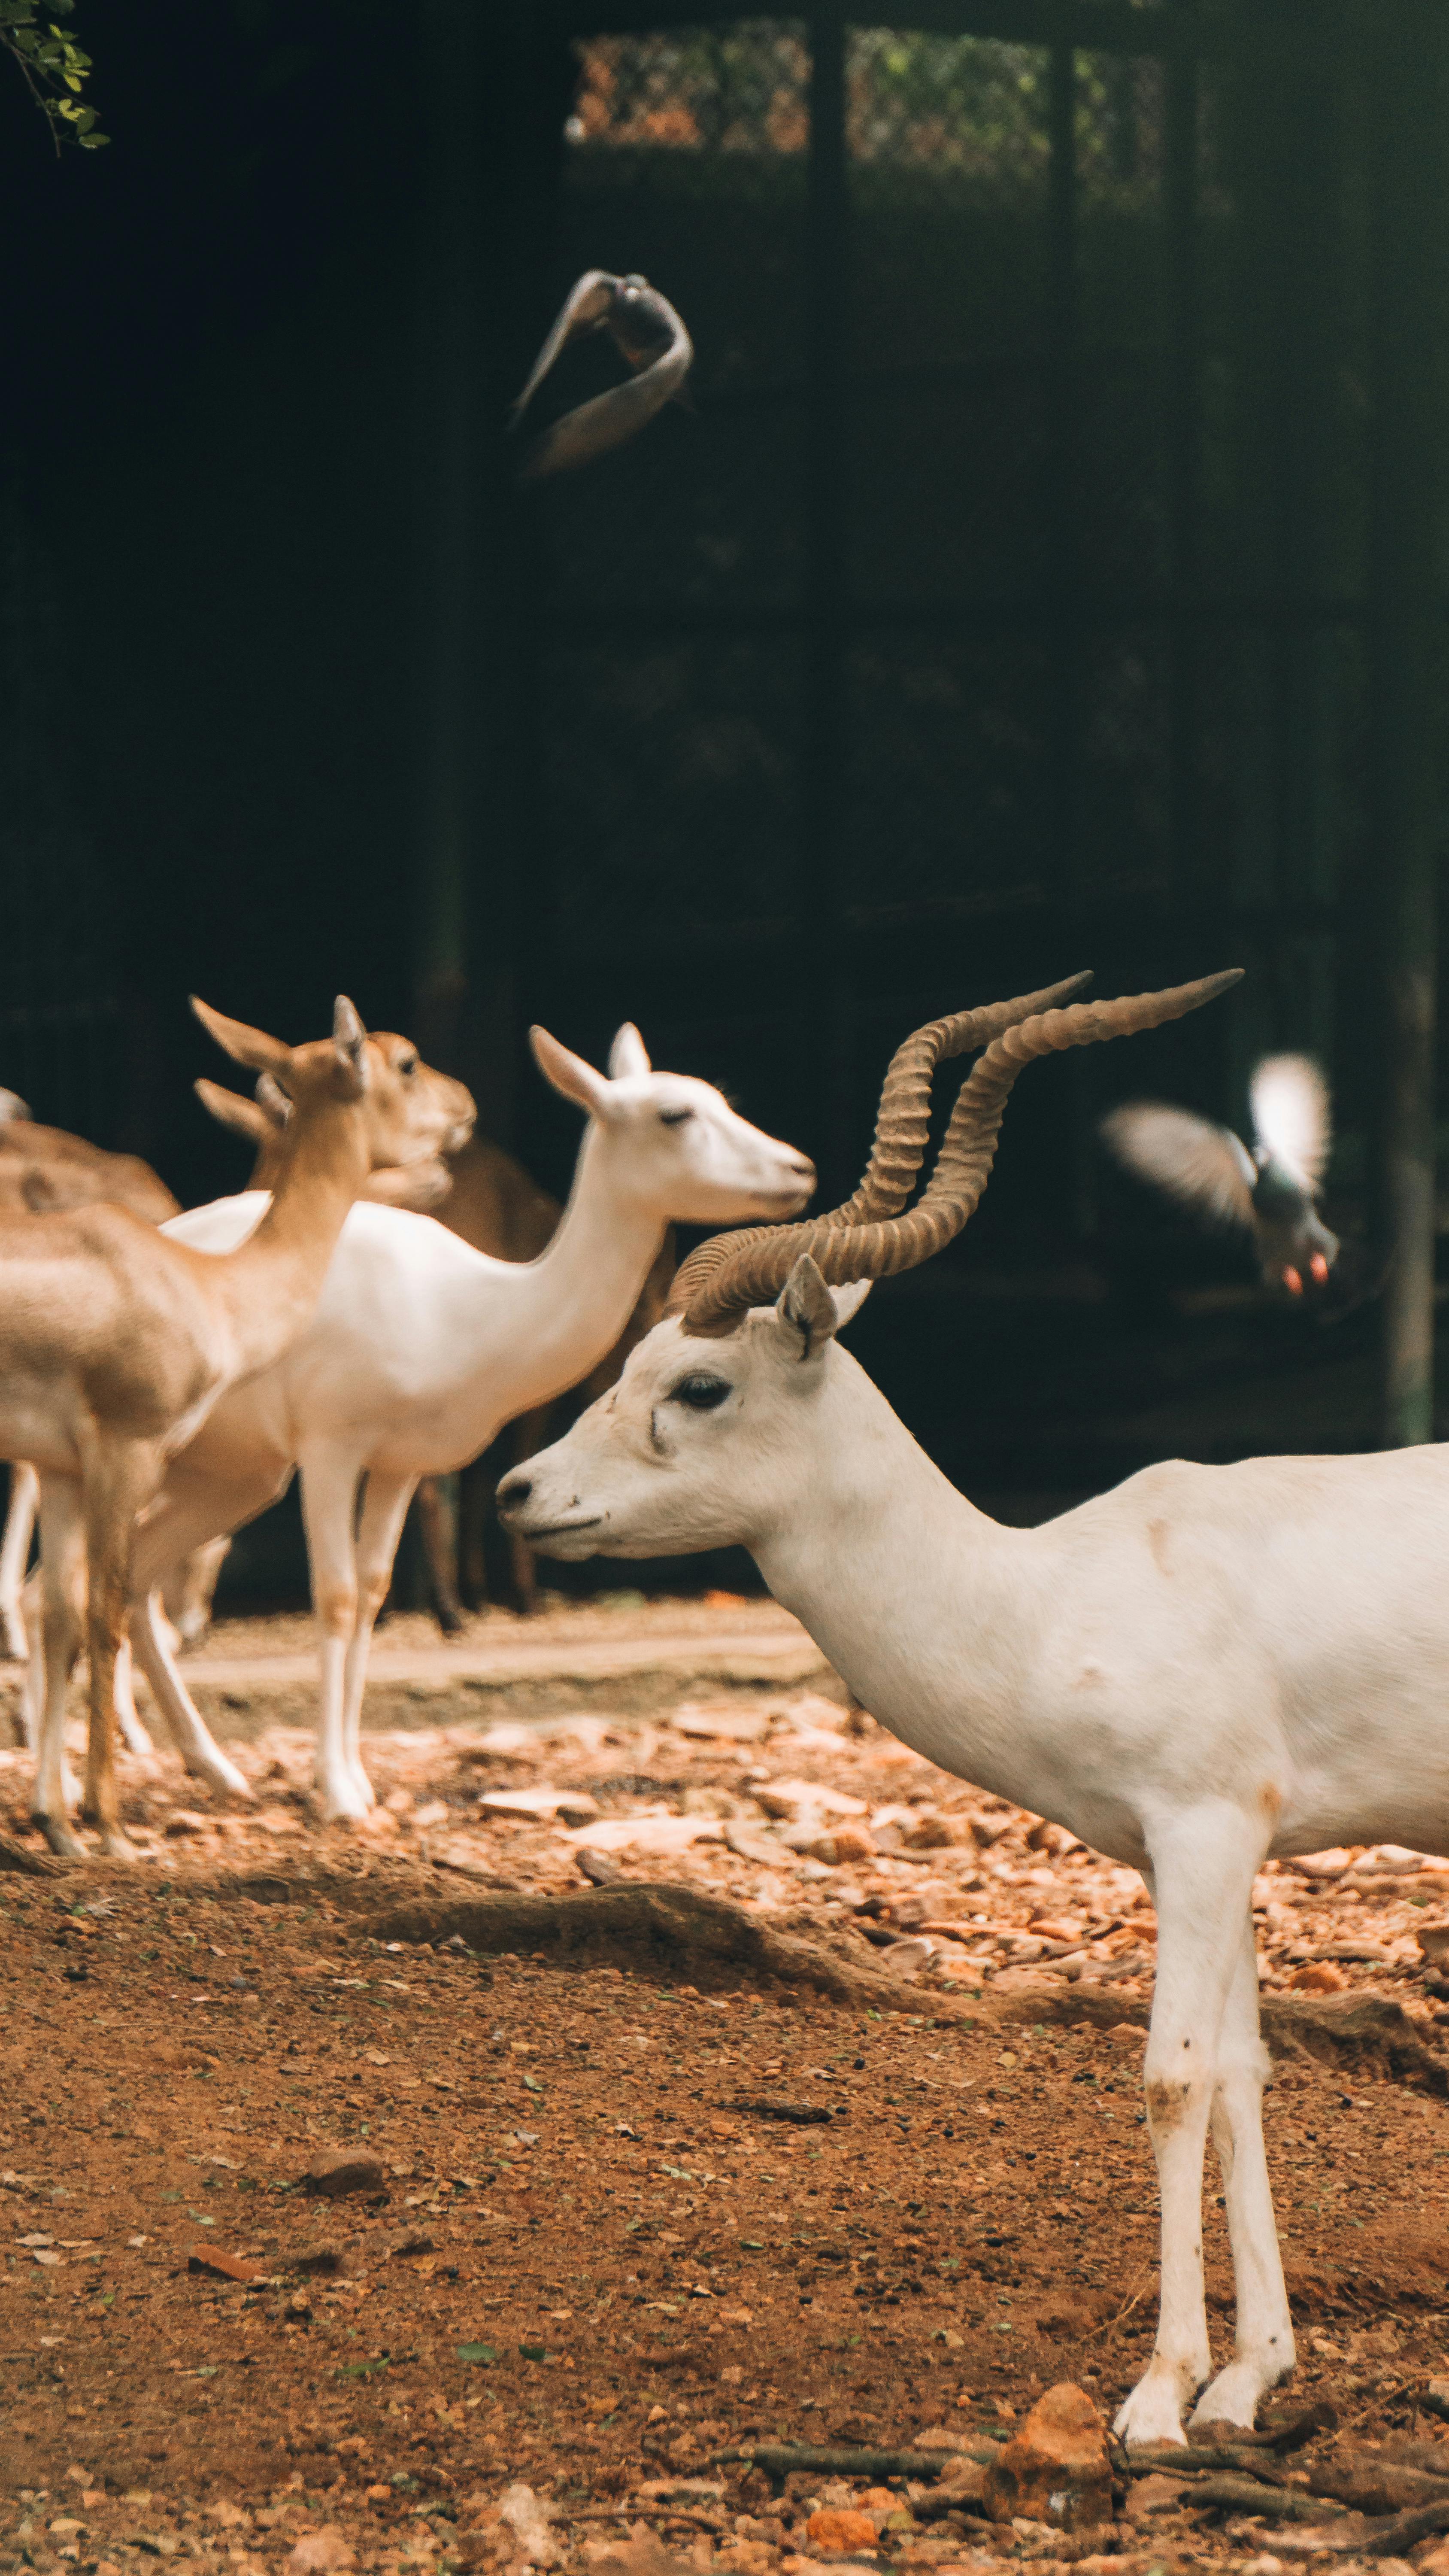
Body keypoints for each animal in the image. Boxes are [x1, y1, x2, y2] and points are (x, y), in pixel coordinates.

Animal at [8, 998, 472, 1858]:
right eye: (406, 1061)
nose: (464, 1111)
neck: (212, 1286)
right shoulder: (126, 1450)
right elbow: (104, 1612)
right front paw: (110, 1824)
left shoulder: (62, 1467)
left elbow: (61, 1617)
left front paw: (57, 1822)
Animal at [104, 1024, 817, 1824]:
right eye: (675, 1113)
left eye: (722, 1098)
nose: (800, 1167)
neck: (465, 1312)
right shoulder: (330, 1446)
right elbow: (337, 1596)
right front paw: (335, 1793)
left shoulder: (400, 1462)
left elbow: (373, 1592)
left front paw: (360, 1781)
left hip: (235, 1475)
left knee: (133, 1574)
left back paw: (213, 1768)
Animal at [498, 966, 1419, 2446]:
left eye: (699, 1383)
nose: (519, 1492)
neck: (1046, 1594)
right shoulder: (1219, 1849)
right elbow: (1242, 2077)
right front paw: (1249, 2377)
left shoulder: (1202, 1831)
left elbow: (1172, 2079)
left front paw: (1156, 2398)